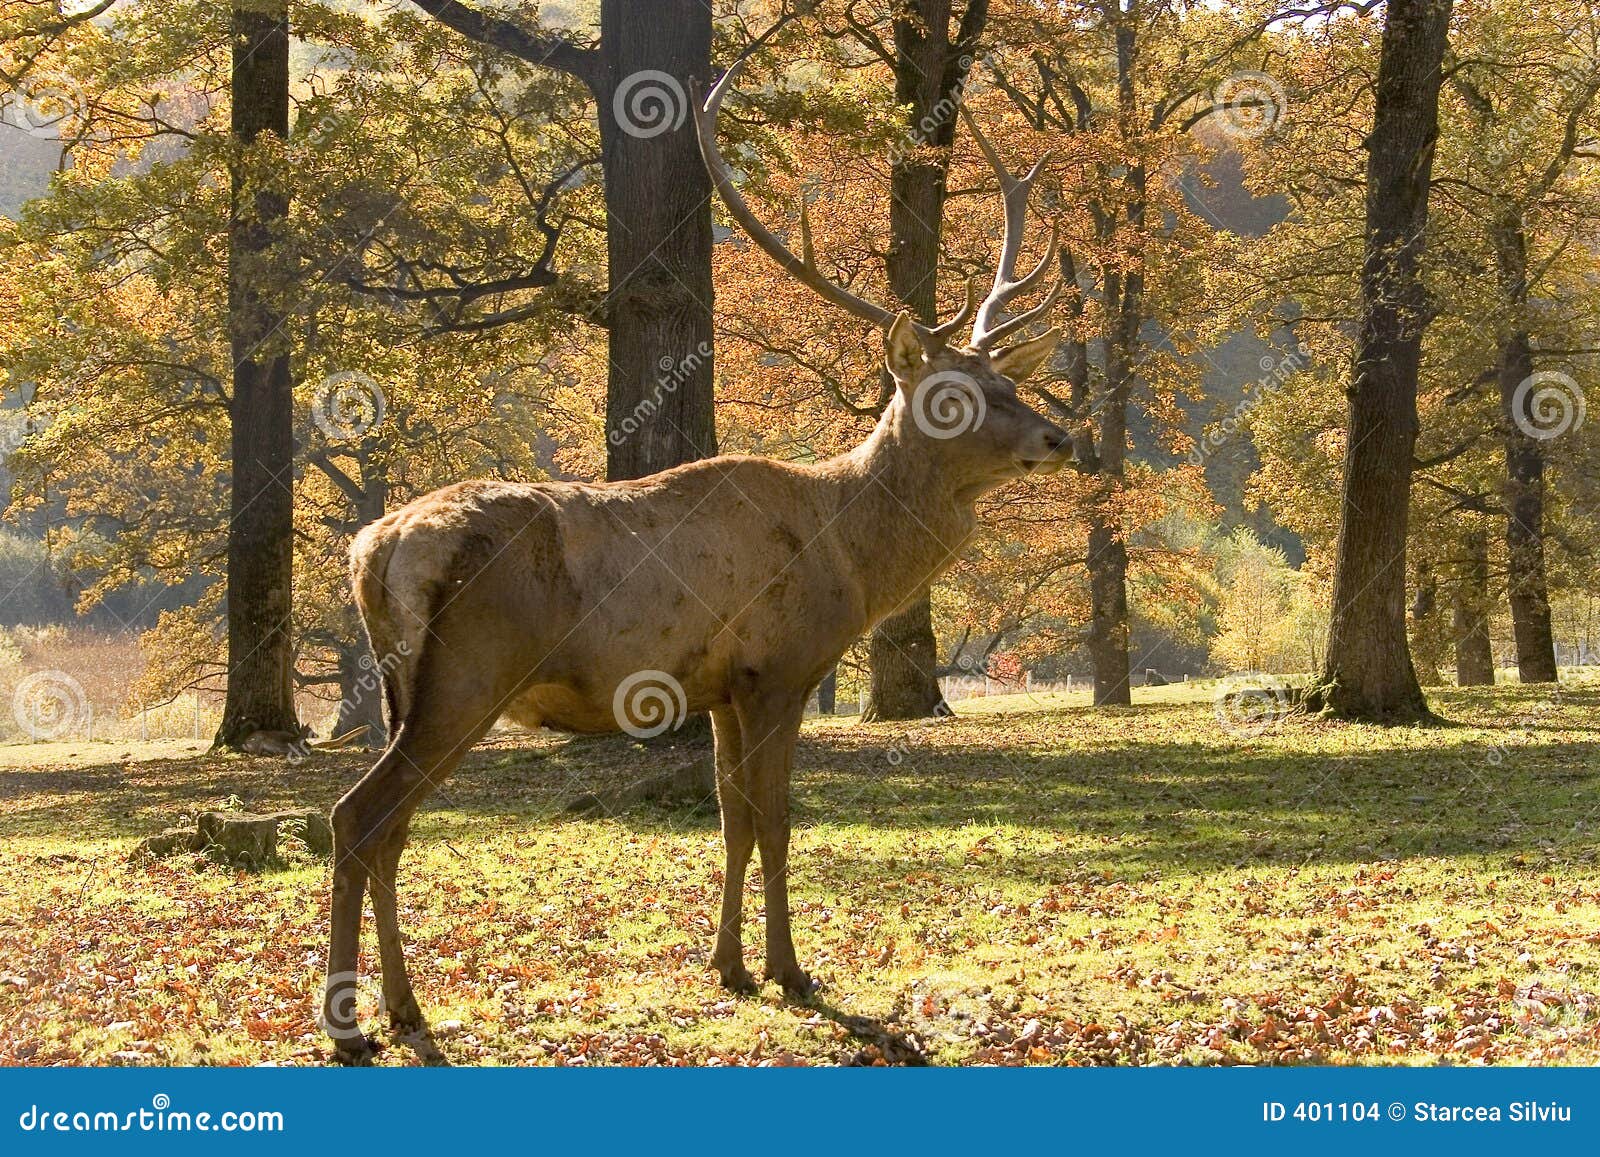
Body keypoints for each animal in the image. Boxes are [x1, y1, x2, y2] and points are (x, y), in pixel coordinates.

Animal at [320, 58, 1071, 1062]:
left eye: (1010, 381)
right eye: (959, 393)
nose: (1059, 436)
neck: (852, 558)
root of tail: (373, 549)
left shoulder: (717, 686)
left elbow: (730, 822)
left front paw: (729, 965)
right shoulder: (780, 667)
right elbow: (776, 821)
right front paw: (792, 971)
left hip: (412, 689)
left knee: (389, 827)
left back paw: (401, 1009)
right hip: (467, 674)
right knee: (358, 816)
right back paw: (354, 1024)